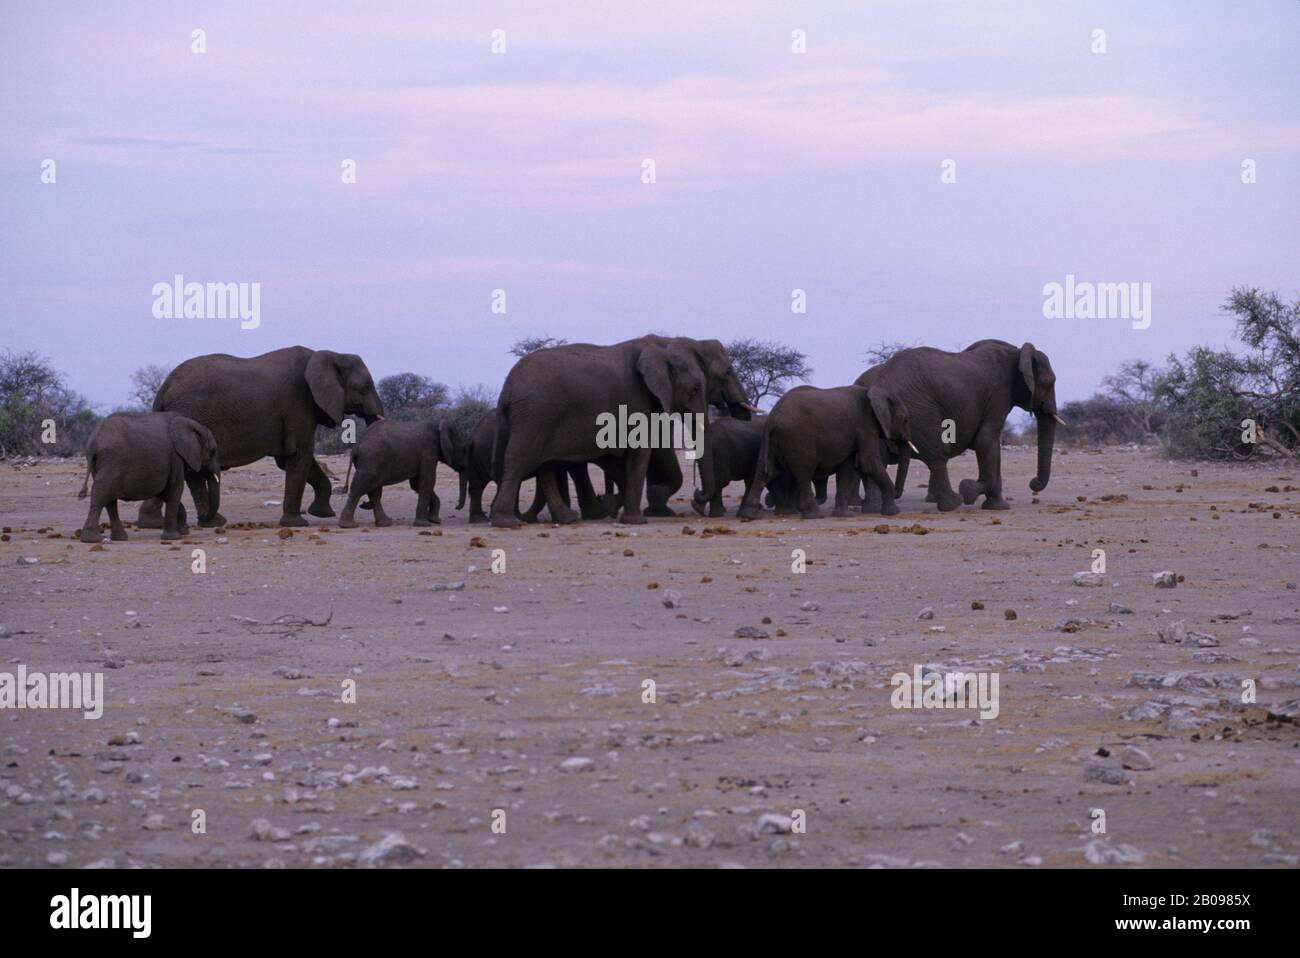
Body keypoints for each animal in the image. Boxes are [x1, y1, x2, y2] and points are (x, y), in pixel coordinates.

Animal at [78, 412, 220, 543]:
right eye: (213, 451)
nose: (200, 518)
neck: (192, 424)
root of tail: (93, 443)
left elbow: (165, 493)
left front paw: (183, 532)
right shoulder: (175, 458)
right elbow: (175, 490)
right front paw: (174, 537)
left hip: (101, 465)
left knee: (109, 500)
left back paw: (120, 538)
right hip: (112, 462)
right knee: (101, 496)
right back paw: (93, 539)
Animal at [139, 346, 384, 528]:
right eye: (366, 387)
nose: (365, 504)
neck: (329, 354)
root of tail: (164, 387)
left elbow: (291, 461)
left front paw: (322, 514)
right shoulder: (299, 405)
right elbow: (299, 456)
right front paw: (297, 524)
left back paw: (156, 523)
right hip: (190, 413)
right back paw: (210, 522)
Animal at [489, 335, 755, 527]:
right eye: (695, 388)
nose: (697, 496)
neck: (667, 342)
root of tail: (507, 388)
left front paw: (618, 506)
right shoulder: (639, 400)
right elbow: (641, 452)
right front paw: (636, 520)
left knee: (545, 466)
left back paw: (566, 519)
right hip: (535, 416)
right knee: (521, 459)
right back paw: (507, 523)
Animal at [737, 384, 913, 519]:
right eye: (905, 420)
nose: (897, 492)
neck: (874, 391)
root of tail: (772, 419)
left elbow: (847, 468)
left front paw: (844, 515)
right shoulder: (864, 426)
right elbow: (868, 462)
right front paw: (893, 513)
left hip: (771, 441)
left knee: (765, 472)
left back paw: (749, 515)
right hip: (799, 439)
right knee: (803, 473)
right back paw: (814, 515)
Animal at [853, 340, 1062, 511]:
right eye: (1049, 383)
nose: (1034, 483)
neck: (1017, 351)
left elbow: (992, 448)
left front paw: (998, 507)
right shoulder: (998, 396)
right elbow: (986, 442)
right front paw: (968, 490)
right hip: (918, 409)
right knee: (938, 454)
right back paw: (953, 503)